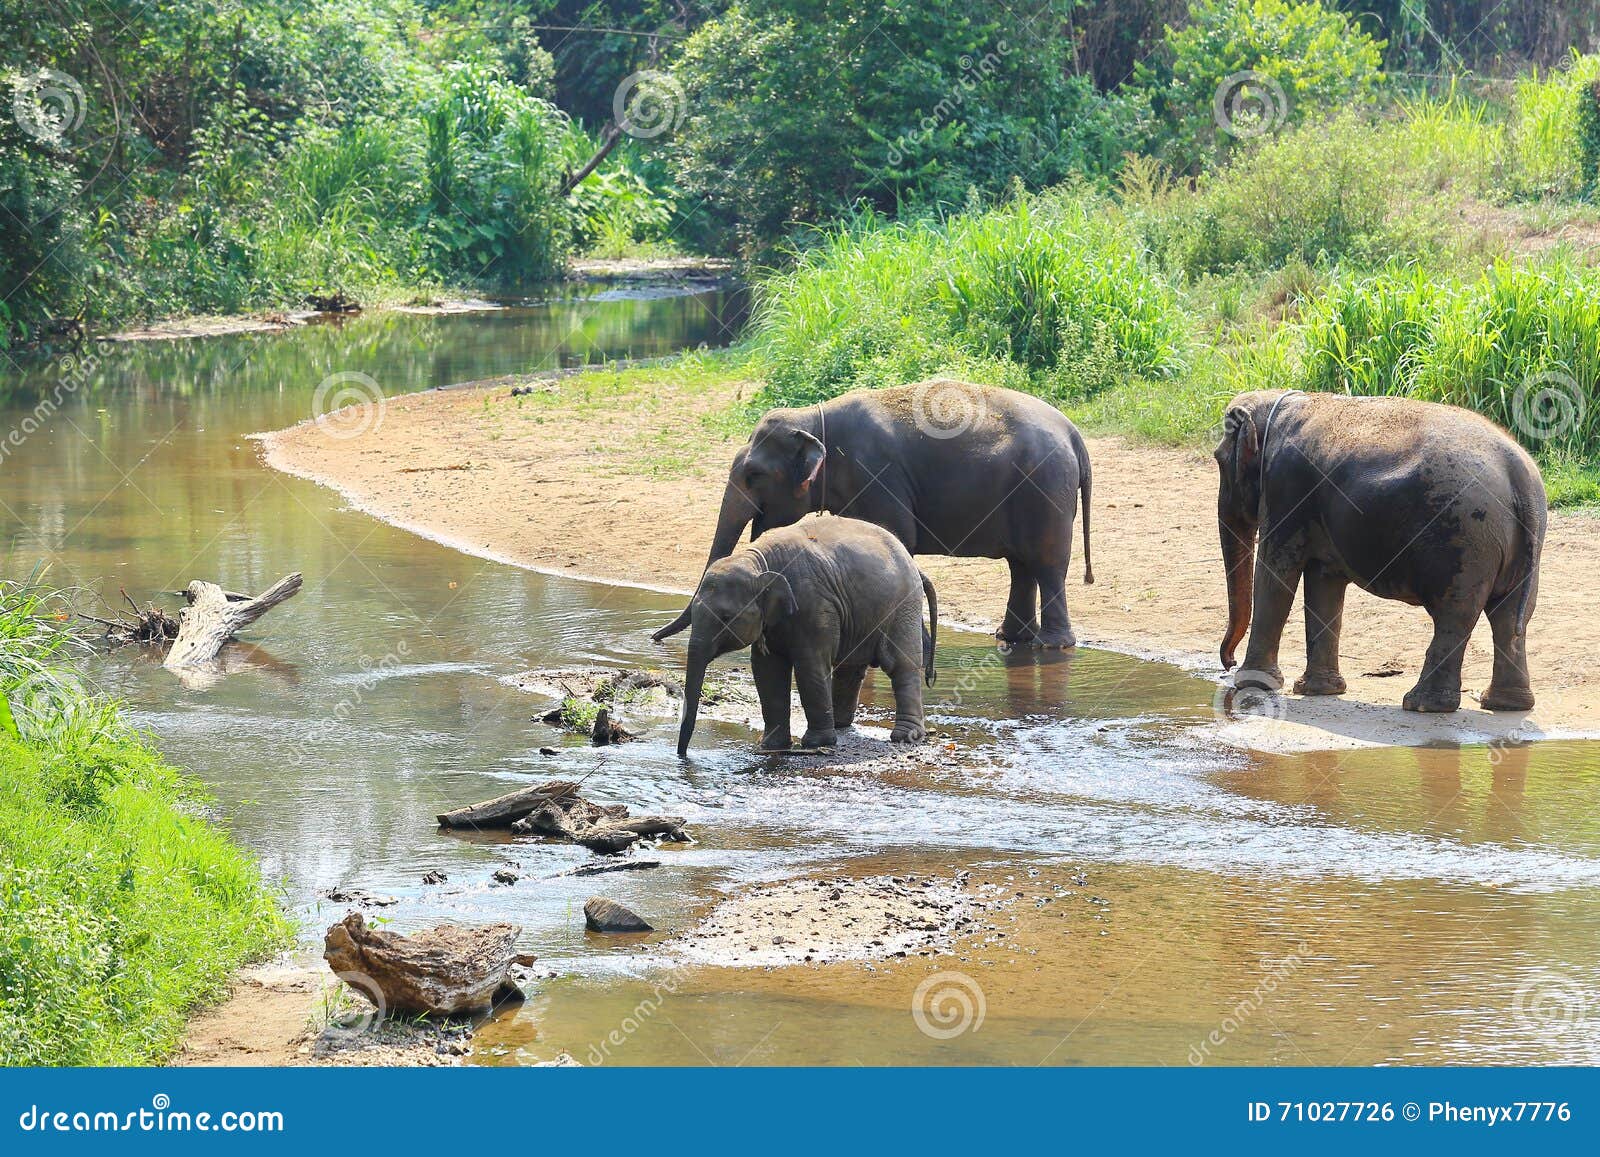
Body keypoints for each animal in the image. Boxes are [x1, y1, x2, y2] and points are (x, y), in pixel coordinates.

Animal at [653, 380, 1092, 649]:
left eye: (753, 475)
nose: (655, 638)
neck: (815, 420)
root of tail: (1074, 433)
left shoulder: (877, 472)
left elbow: (897, 534)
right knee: (1022, 564)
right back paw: (1010, 638)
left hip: (1045, 489)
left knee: (1047, 564)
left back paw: (1051, 645)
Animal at [675, 515, 937, 757]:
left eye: (726, 617)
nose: (682, 756)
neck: (759, 561)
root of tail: (915, 566)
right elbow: (766, 669)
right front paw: (770, 746)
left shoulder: (814, 604)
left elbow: (810, 664)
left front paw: (816, 743)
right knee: (851, 668)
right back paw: (840, 723)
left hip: (903, 608)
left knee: (900, 665)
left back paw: (906, 737)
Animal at [1216, 389, 1546, 713]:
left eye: (1218, 460)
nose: (1228, 663)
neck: (1278, 401)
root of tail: (1520, 477)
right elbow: (1324, 581)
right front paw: (1319, 691)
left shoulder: (1286, 489)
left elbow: (1276, 570)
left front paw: (1252, 684)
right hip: (1516, 546)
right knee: (1509, 617)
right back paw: (1506, 704)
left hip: (1466, 539)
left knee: (1456, 614)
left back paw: (1421, 705)